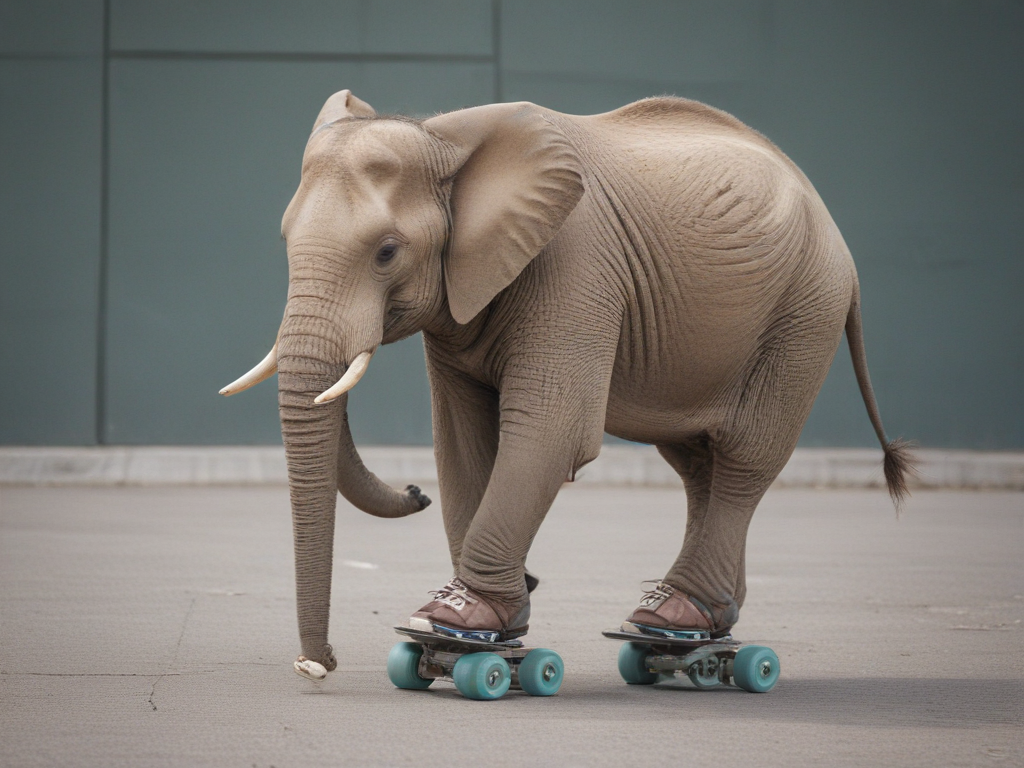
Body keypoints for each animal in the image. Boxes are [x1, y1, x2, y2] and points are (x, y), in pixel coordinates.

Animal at [221, 89, 912, 677]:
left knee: (745, 458)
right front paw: (485, 628)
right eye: (285, 239)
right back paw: (684, 628)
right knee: (698, 465)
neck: (444, 136)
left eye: (387, 251)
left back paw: (693, 633)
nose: (317, 666)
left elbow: (546, 433)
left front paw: (458, 626)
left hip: (804, 312)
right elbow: (464, 443)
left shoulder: (576, 265)